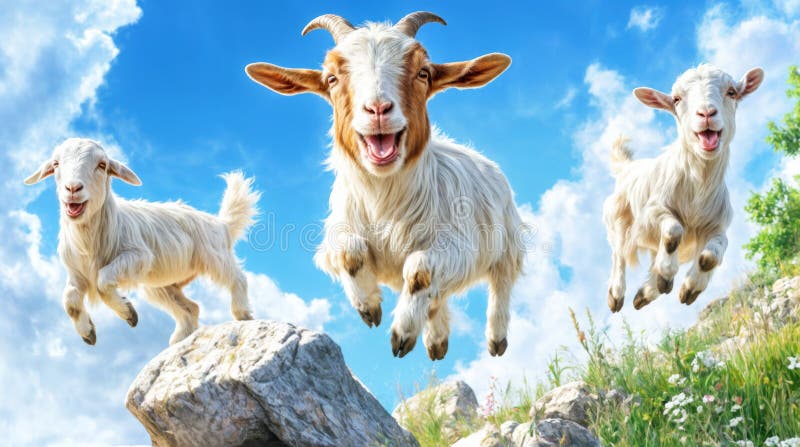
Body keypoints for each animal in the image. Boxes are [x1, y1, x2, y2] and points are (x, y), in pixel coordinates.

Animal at [24, 138, 260, 345]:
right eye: (56, 164)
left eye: (102, 165)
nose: (73, 189)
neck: (89, 240)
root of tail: (222, 224)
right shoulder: (77, 274)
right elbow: (70, 300)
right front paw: (88, 333)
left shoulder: (138, 255)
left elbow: (103, 281)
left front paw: (128, 313)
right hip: (161, 284)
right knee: (191, 307)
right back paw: (178, 340)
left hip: (214, 255)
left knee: (238, 278)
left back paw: (242, 314)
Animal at [246, 12, 523, 360]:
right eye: (331, 79)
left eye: (423, 72)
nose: (378, 110)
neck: (384, 202)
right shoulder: (339, 231)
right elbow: (350, 253)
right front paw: (369, 307)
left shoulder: (459, 245)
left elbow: (419, 271)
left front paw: (402, 333)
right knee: (439, 297)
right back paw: (437, 341)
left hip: (507, 242)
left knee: (501, 283)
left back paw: (495, 340)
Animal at [603, 64, 763, 312]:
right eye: (676, 99)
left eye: (732, 92)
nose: (706, 113)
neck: (697, 190)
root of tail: (628, 166)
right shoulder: (652, 212)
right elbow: (673, 231)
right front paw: (667, 274)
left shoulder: (717, 225)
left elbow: (711, 256)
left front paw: (689, 288)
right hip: (618, 217)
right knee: (618, 254)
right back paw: (617, 295)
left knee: (650, 259)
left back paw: (645, 294)